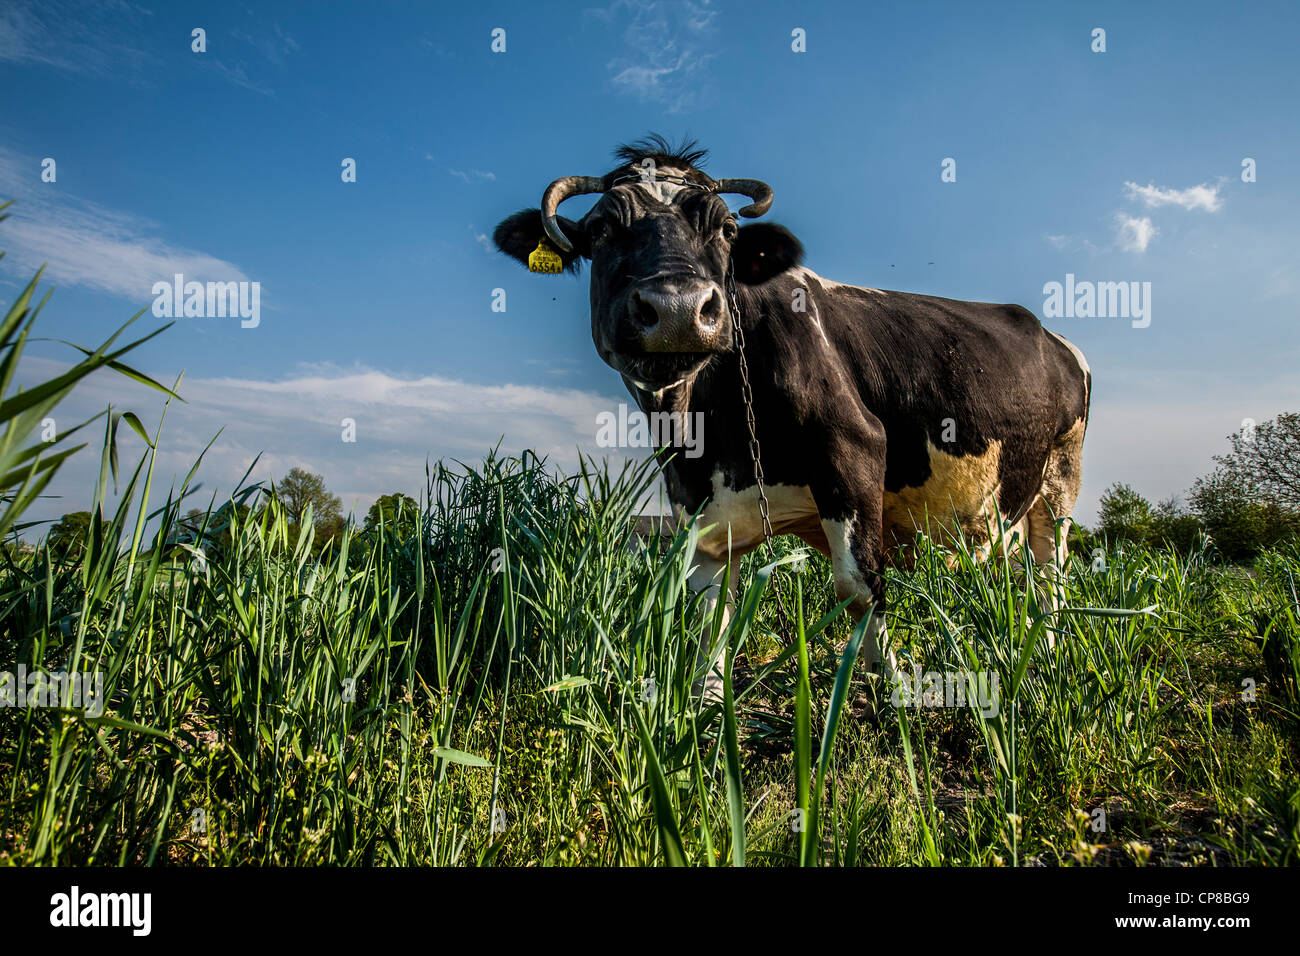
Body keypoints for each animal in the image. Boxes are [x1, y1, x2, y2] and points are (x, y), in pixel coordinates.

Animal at [494, 135, 1091, 699]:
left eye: (727, 229)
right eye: (599, 229)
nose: (678, 308)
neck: (704, 428)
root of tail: (1047, 331)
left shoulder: (854, 450)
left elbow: (859, 586)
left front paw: (888, 686)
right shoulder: (698, 506)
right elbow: (711, 609)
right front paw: (707, 697)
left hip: (1062, 479)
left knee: (1051, 573)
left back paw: (1048, 652)